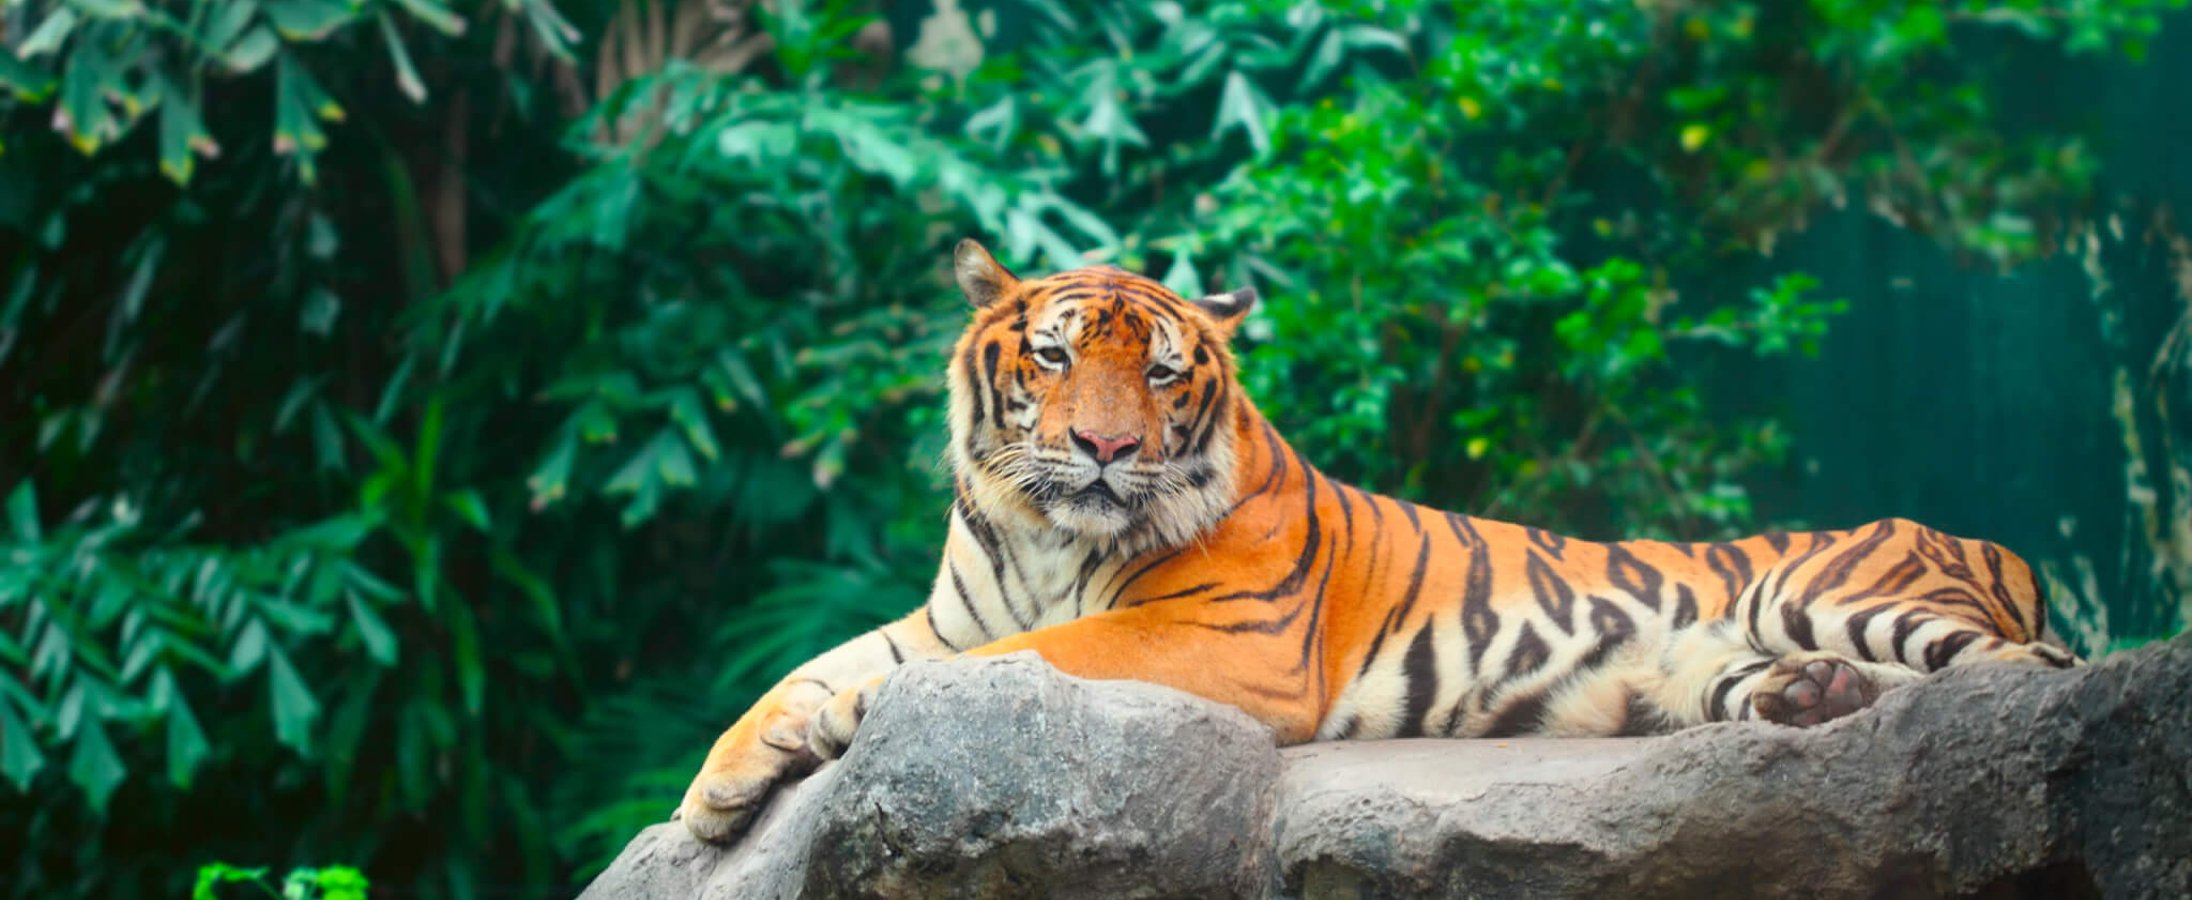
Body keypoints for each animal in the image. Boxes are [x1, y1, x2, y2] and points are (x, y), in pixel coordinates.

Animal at [675, 239, 2080, 843]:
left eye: (1163, 373)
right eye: (1057, 357)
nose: (1105, 450)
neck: (1040, 535)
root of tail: (1988, 539)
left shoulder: (1217, 637)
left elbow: (1029, 660)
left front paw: (854, 727)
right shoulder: (944, 615)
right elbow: (797, 671)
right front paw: (717, 795)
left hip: (1830, 584)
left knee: (2031, 677)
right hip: (1713, 666)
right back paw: (1816, 702)